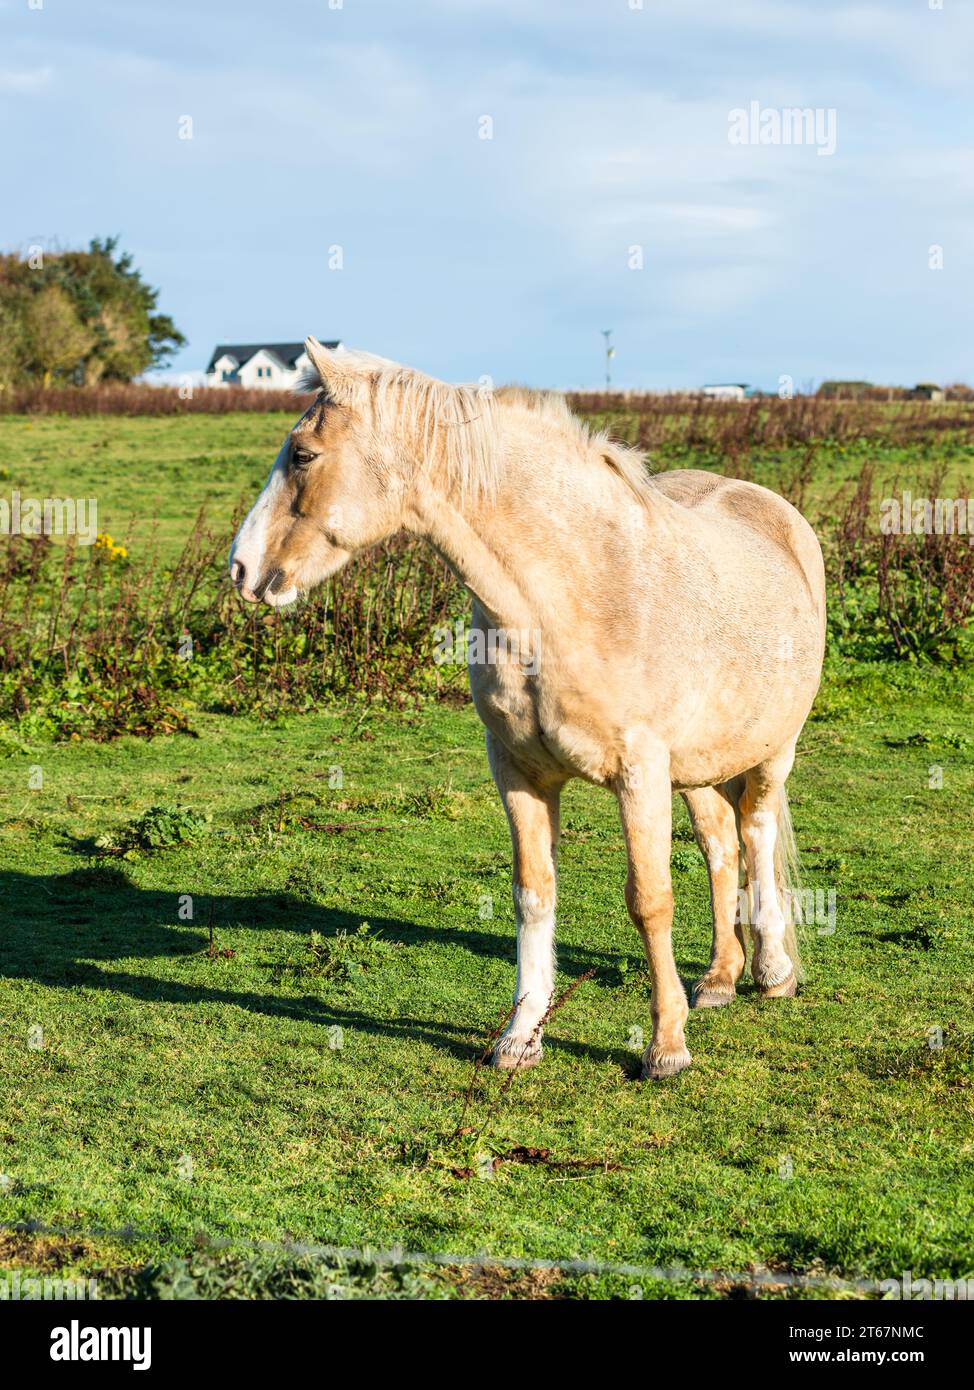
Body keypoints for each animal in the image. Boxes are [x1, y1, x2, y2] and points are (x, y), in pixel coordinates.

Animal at [230, 338, 825, 1079]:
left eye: (304, 455)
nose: (242, 569)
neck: (575, 590)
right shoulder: (520, 771)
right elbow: (534, 893)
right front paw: (521, 1036)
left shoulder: (639, 773)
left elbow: (649, 900)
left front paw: (665, 1047)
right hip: (698, 767)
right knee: (720, 844)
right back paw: (719, 977)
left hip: (772, 751)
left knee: (757, 834)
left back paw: (772, 972)